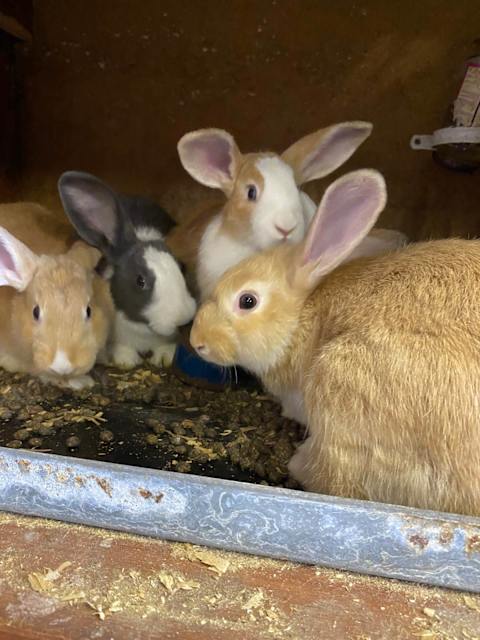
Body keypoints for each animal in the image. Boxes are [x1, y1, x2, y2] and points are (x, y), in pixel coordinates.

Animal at [58, 171, 197, 369]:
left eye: (181, 267)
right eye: (140, 281)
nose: (183, 318)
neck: (143, 329)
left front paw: (164, 358)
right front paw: (126, 361)